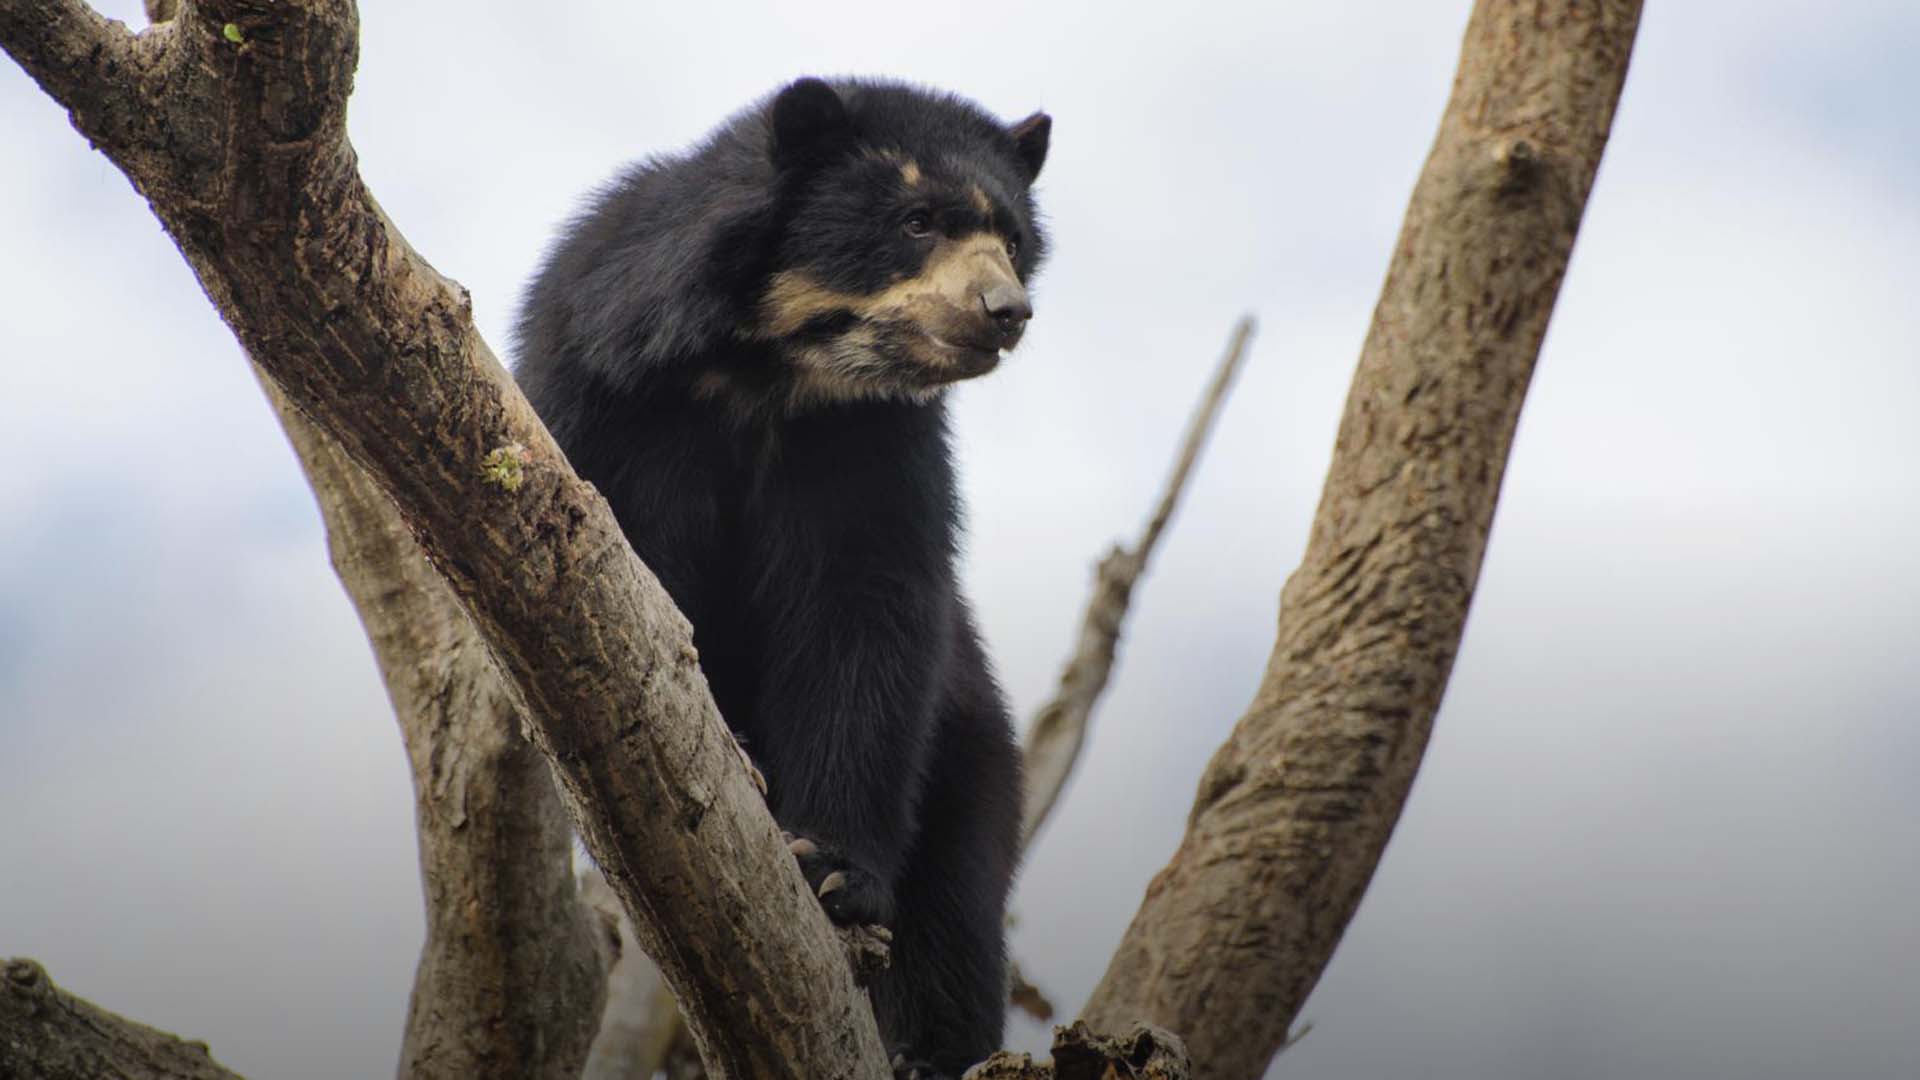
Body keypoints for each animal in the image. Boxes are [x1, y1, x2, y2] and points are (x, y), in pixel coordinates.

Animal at [512, 77, 1051, 1076]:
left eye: (1014, 237)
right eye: (916, 220)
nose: (1006, 310)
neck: (771, 370)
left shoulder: (870, 440)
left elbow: (864, 617)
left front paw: (833, 869)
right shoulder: (609, 402)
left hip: (974, 747)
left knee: (959, 904)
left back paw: (933, 1050)